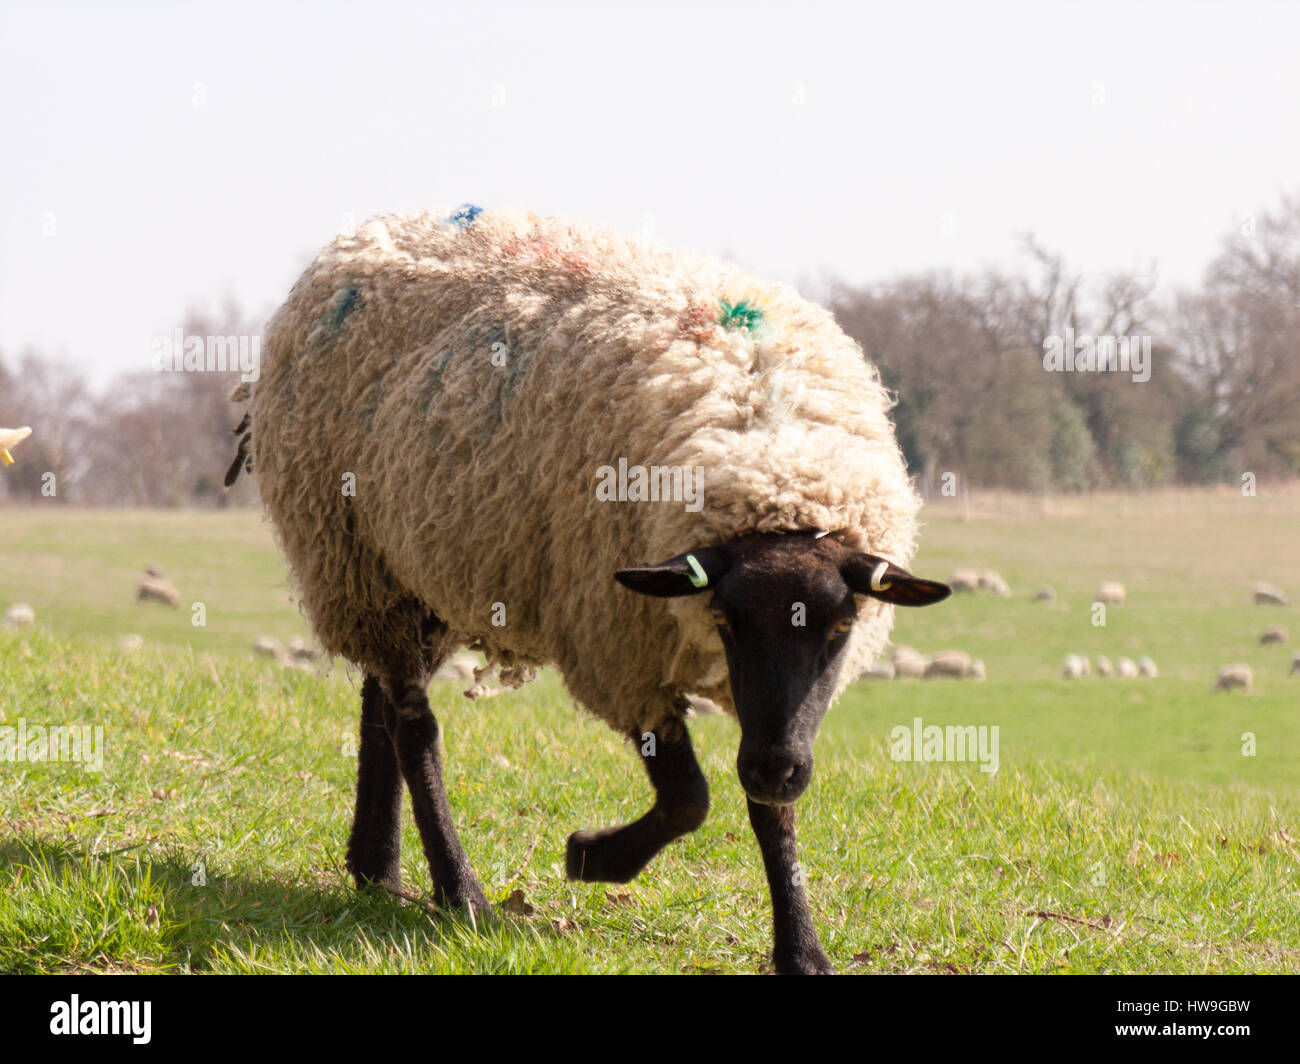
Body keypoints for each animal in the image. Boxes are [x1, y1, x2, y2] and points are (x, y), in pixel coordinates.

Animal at [233, 205, 951, 975]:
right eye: (726, 618)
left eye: (843, 628)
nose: (774, 769)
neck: (772, 452)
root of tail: (361, 238)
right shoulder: (618, 644)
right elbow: (690, 799)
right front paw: (594, 857)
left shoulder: (767, 706)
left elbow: (771, 814)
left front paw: (801, 950)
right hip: (353, 557)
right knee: (414, 725)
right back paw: (460, 893)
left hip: (410, 573)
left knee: (381, 705)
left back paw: (377, 868)